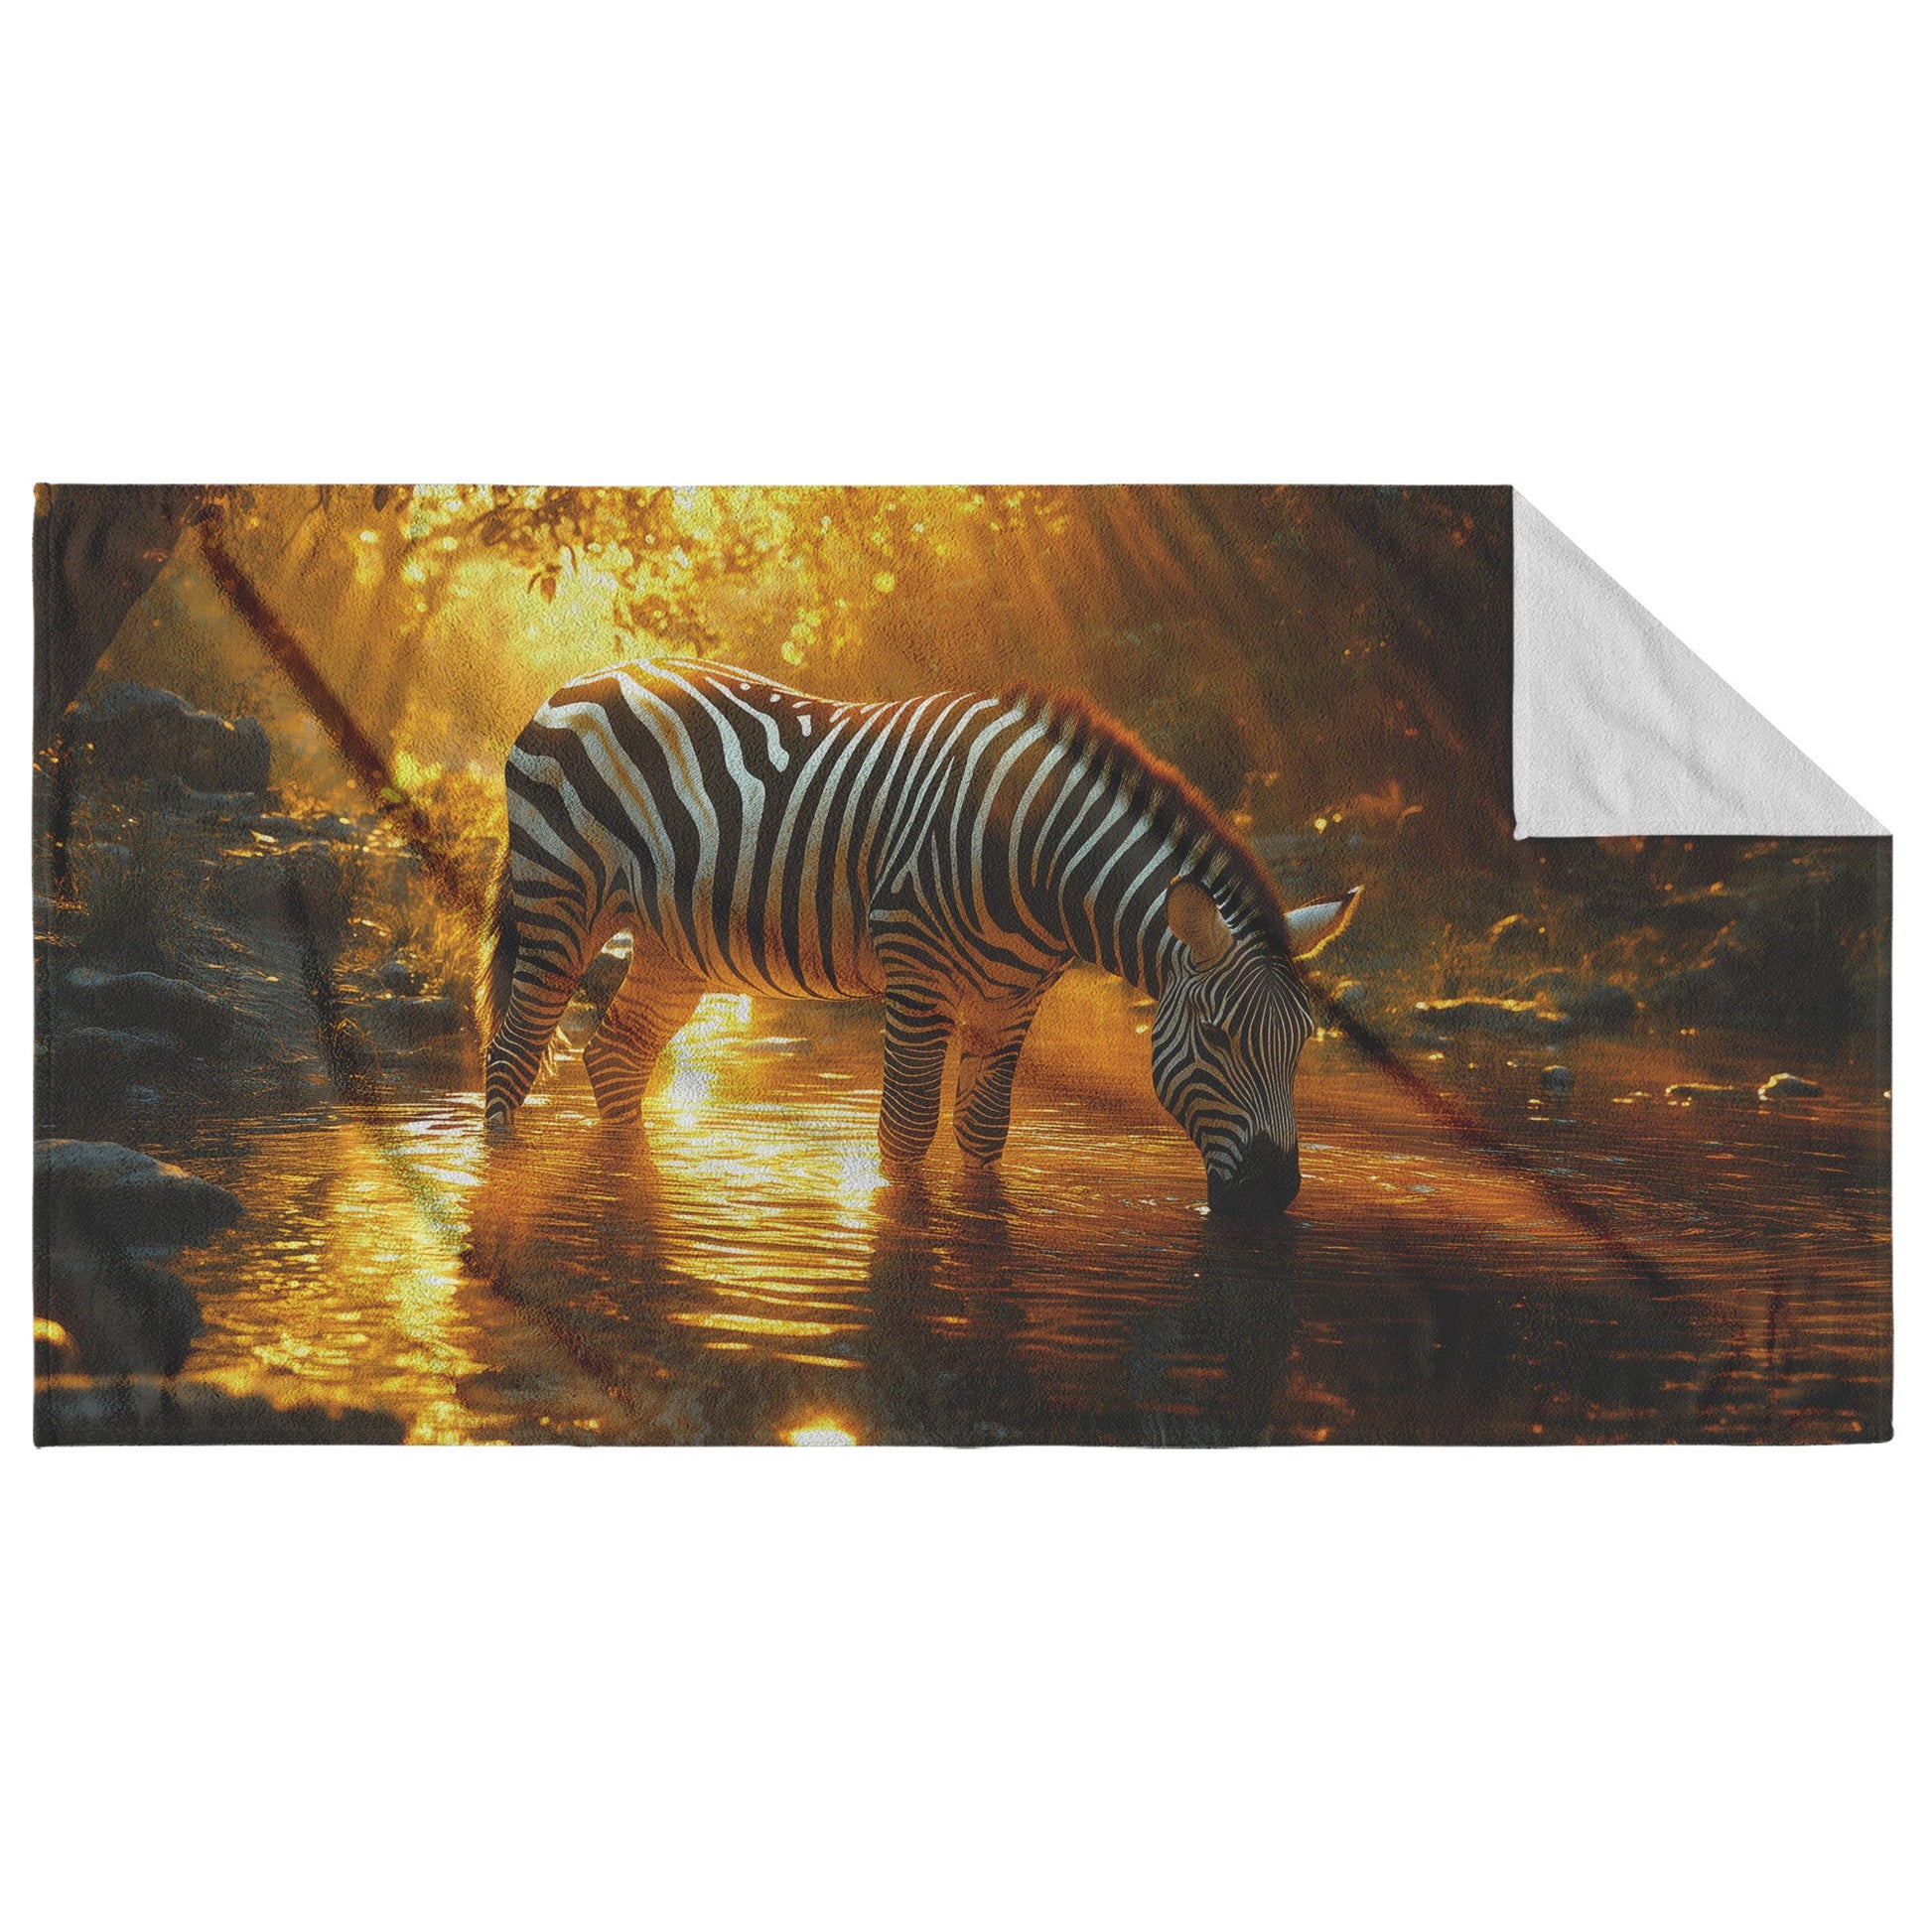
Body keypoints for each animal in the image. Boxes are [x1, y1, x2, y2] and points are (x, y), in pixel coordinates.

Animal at [478, 658, 1359, 1215]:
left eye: (1299, 1044)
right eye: (1217, 1036)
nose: (1273, 1198)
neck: (1038, 856)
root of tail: (583, 678)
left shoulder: (1011, 999)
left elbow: (984, 1131)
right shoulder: (916, 974)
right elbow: (904, 1131)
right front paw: (899, 1219)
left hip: (672, 944)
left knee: (614, 1056)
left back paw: (628, 1172)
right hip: (560, 900)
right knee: (515, 1051)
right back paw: (499, 1177)